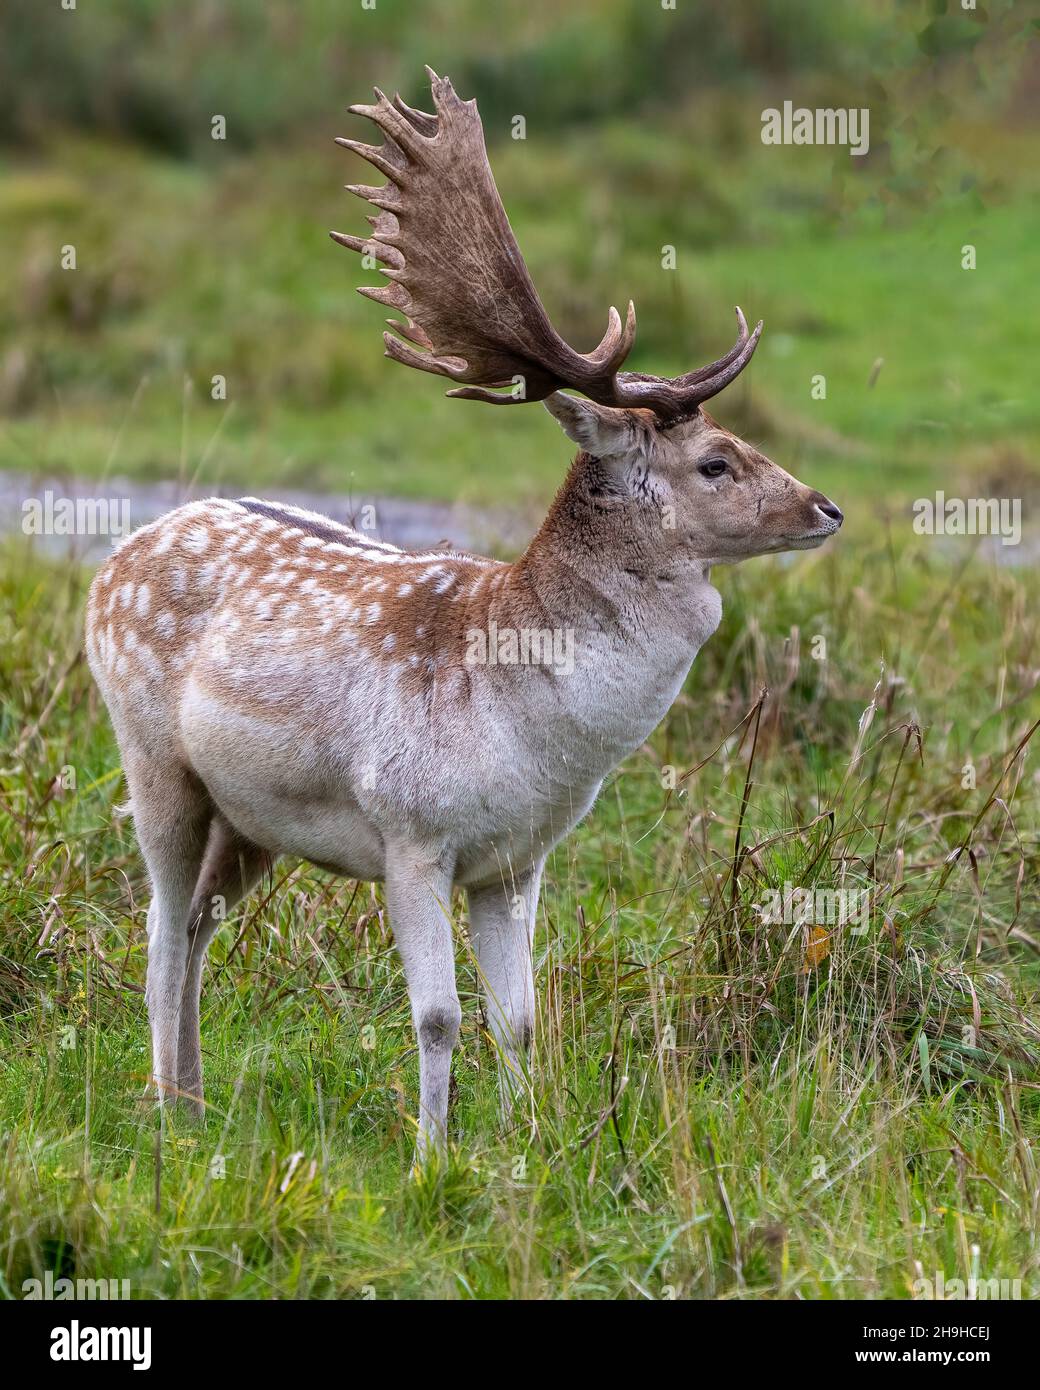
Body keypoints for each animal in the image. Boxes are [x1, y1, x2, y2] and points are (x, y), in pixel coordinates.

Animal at [84, 68, 843, 1161]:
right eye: (714, 462)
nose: (824, 507)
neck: (530, 731)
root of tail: (114, 559)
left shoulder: (516, 861)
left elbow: (518, 1017)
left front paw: (530, 1145)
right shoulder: (410, 832)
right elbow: (438, 1014)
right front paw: (429, 1158)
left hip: (250, 819)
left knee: (194, 925)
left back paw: (190, 1099)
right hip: (154, 762)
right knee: (153, 929)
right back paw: (163, 1117)